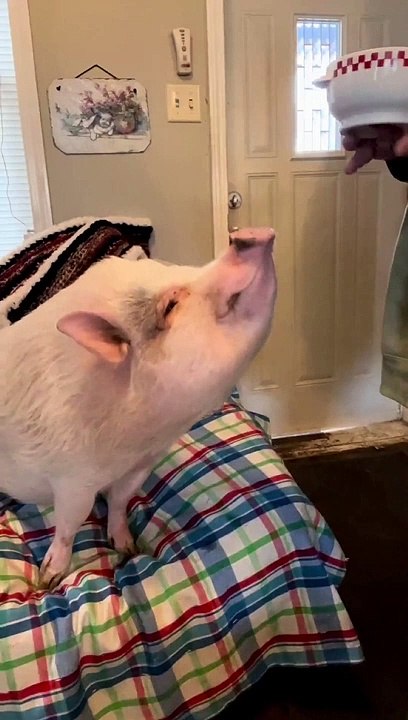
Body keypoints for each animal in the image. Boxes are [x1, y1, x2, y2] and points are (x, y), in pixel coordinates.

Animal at [0, 227, 277, 589]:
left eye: (183, 268)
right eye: (171, 304)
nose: (248, 234)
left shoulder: (142, 464)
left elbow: (120, 502)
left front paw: (129, 549)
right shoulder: (72, 478)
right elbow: (69, 525)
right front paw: (48, 580)